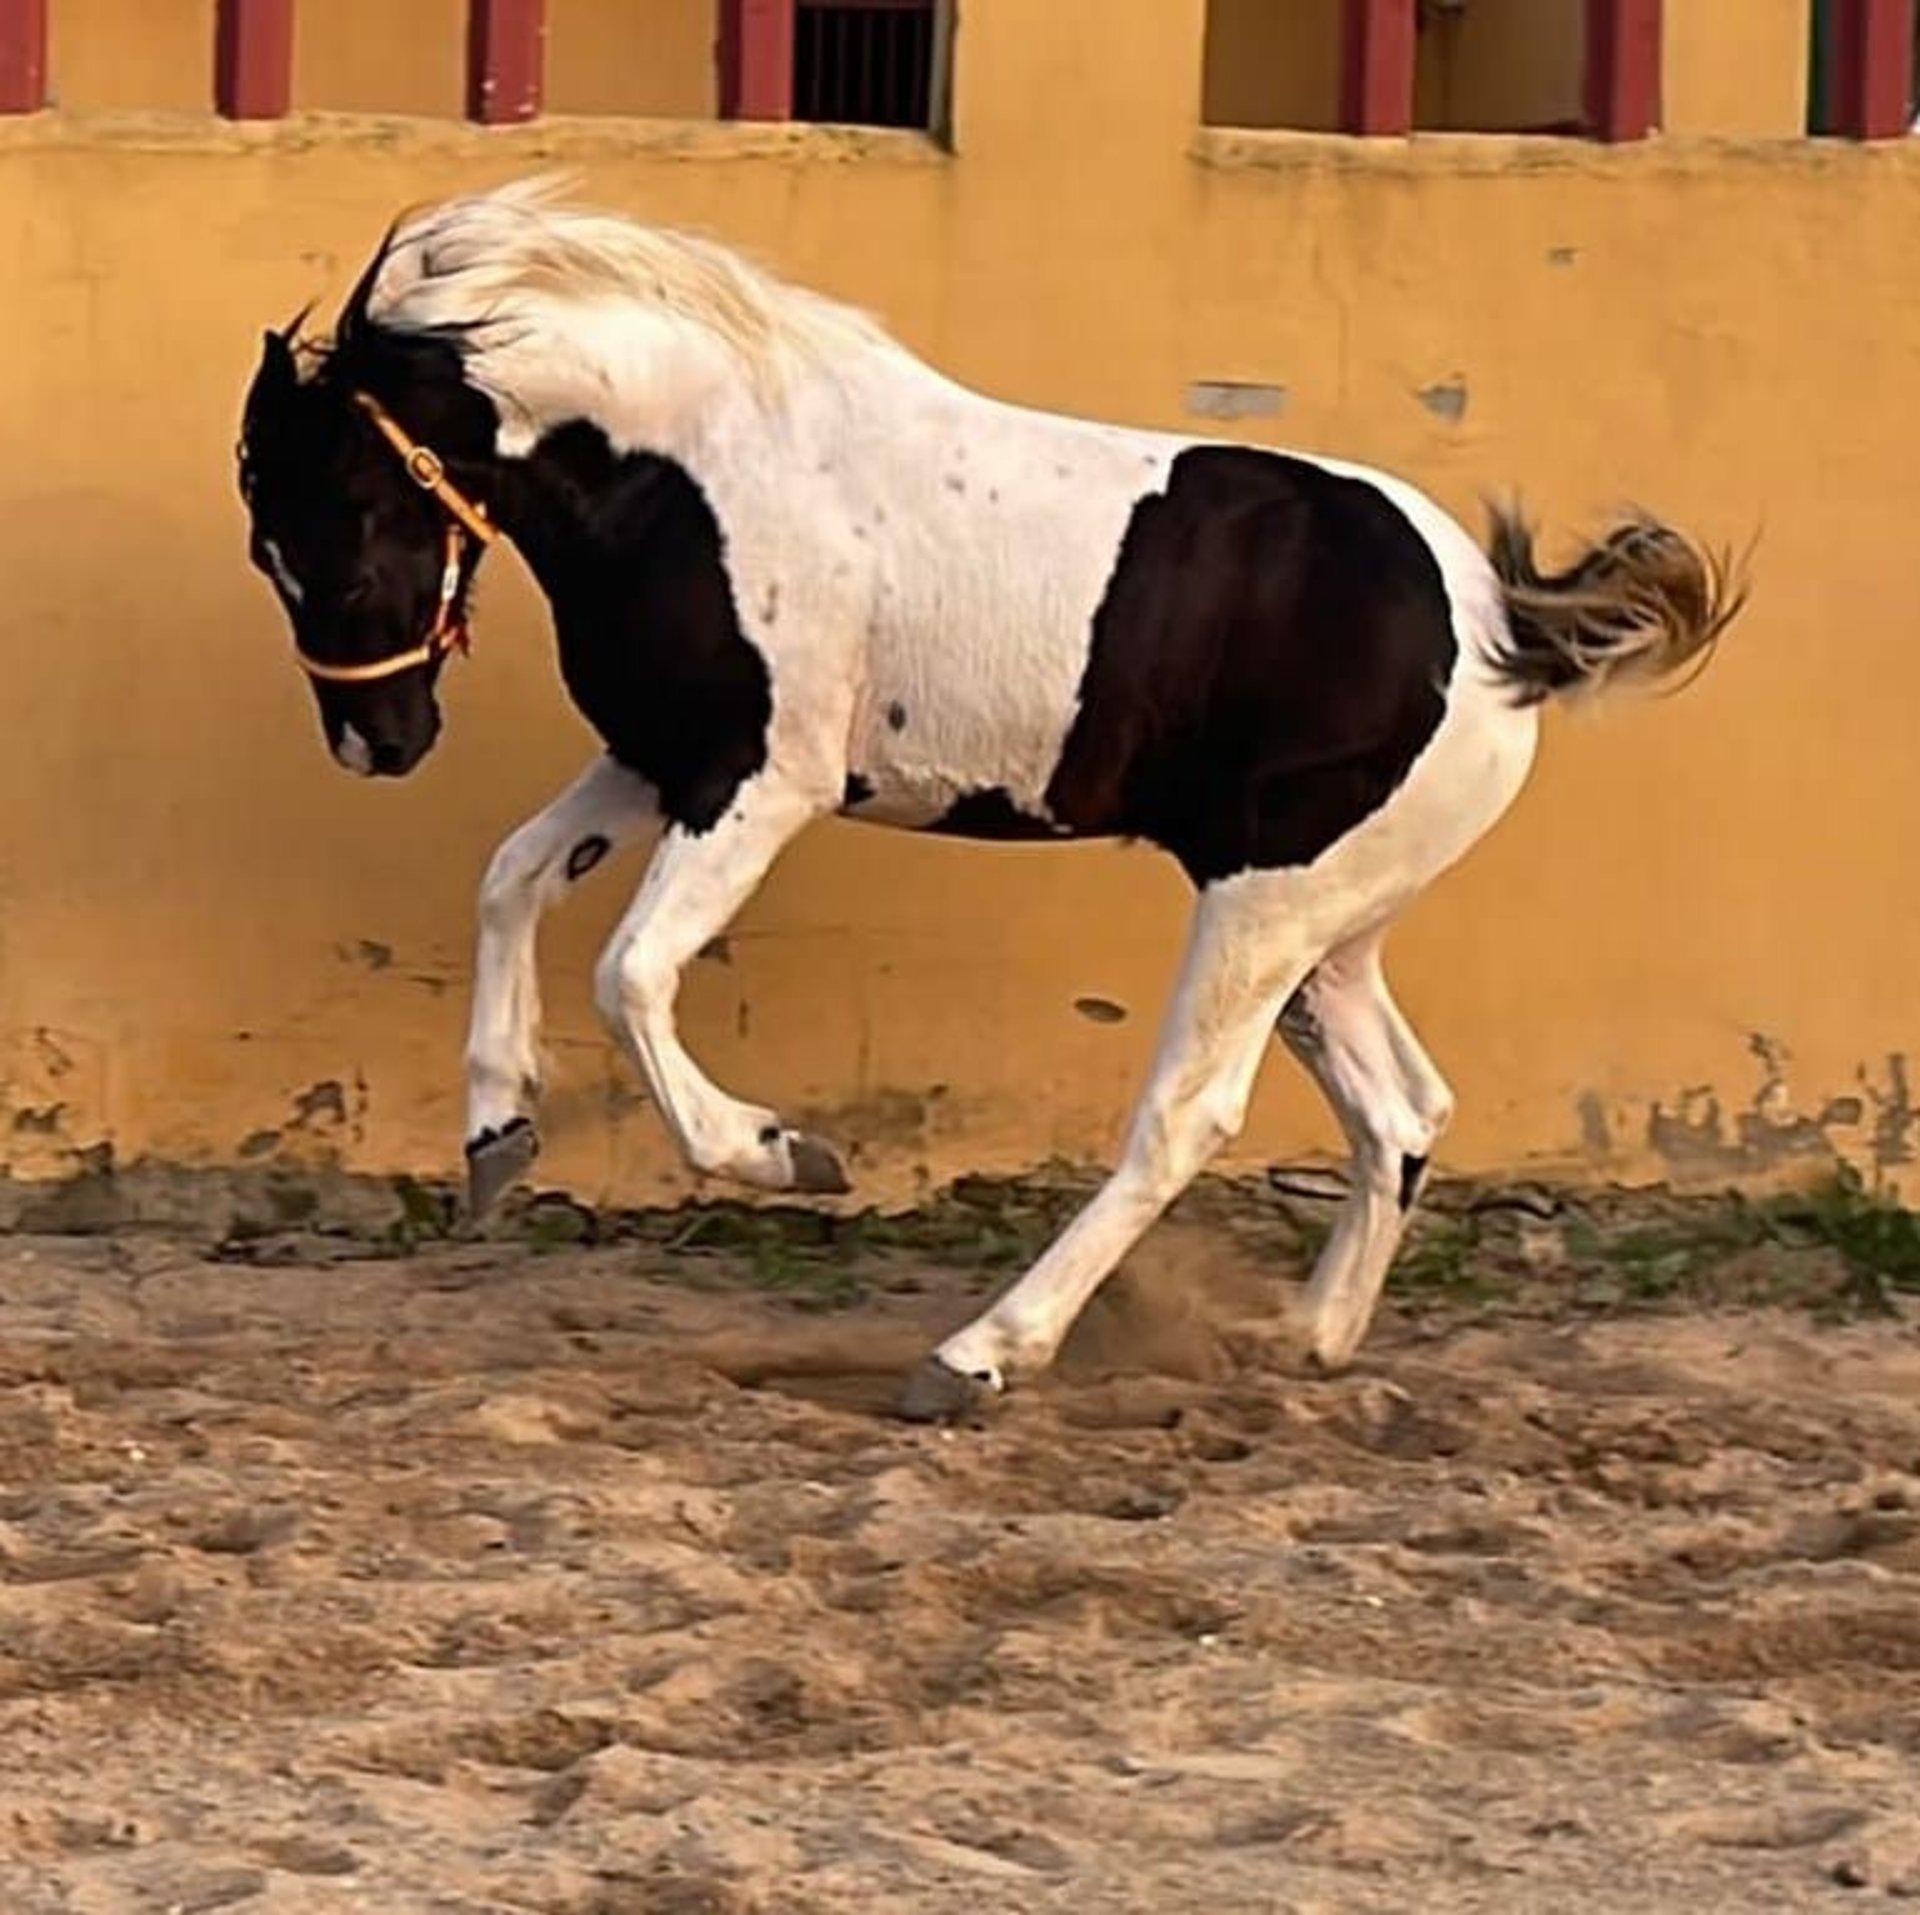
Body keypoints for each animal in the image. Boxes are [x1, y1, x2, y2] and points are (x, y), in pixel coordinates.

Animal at [235, 178, 1745, 1422]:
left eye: (346, 527)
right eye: (269, 544)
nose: (379, 740)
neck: (701, 467)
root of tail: (1505, 625)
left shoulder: (764, 782)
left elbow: (629, 974)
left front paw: (784, 1150)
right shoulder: (659, 759)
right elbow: (510, 876)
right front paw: (497, 1135)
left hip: (1271, 905)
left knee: (1189, 1118)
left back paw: (977, 1355)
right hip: (1329, 930)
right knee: (1404, 1108)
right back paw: (1304, 1339)